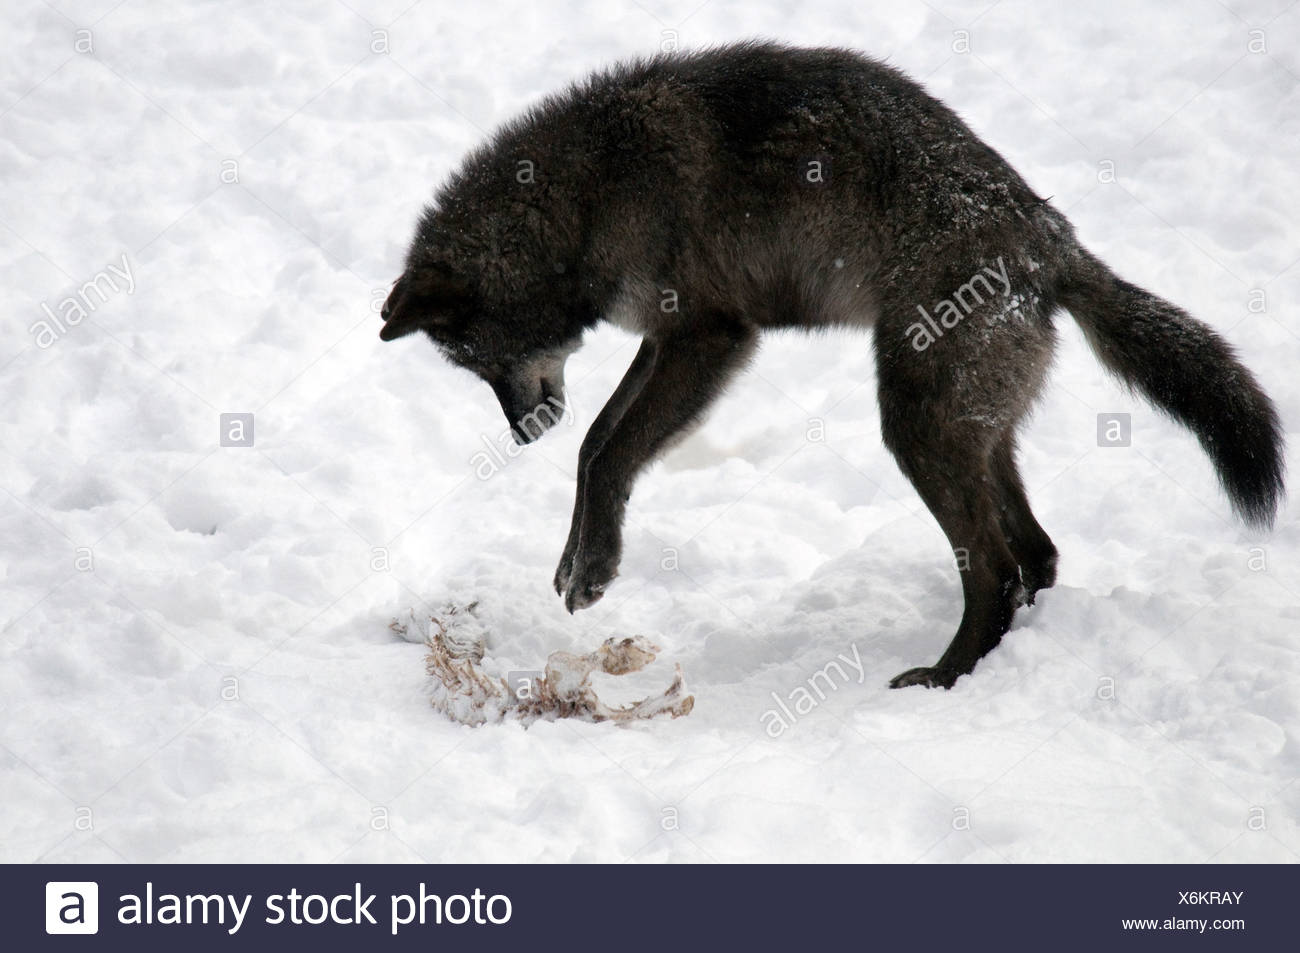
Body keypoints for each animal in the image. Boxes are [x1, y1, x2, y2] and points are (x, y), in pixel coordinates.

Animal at [380, 42, 1284, 689]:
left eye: (480, 362)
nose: (523, 431)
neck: (590, 194)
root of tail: (1049, 240)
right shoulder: (667, 341)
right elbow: (597, 443)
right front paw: (577, 561)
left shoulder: (711, 335)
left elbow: (606, 453)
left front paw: (592, 569)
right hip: (970, 436)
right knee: (1040, 554)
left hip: (915, 427)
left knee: (997, 567)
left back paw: (944, 678)